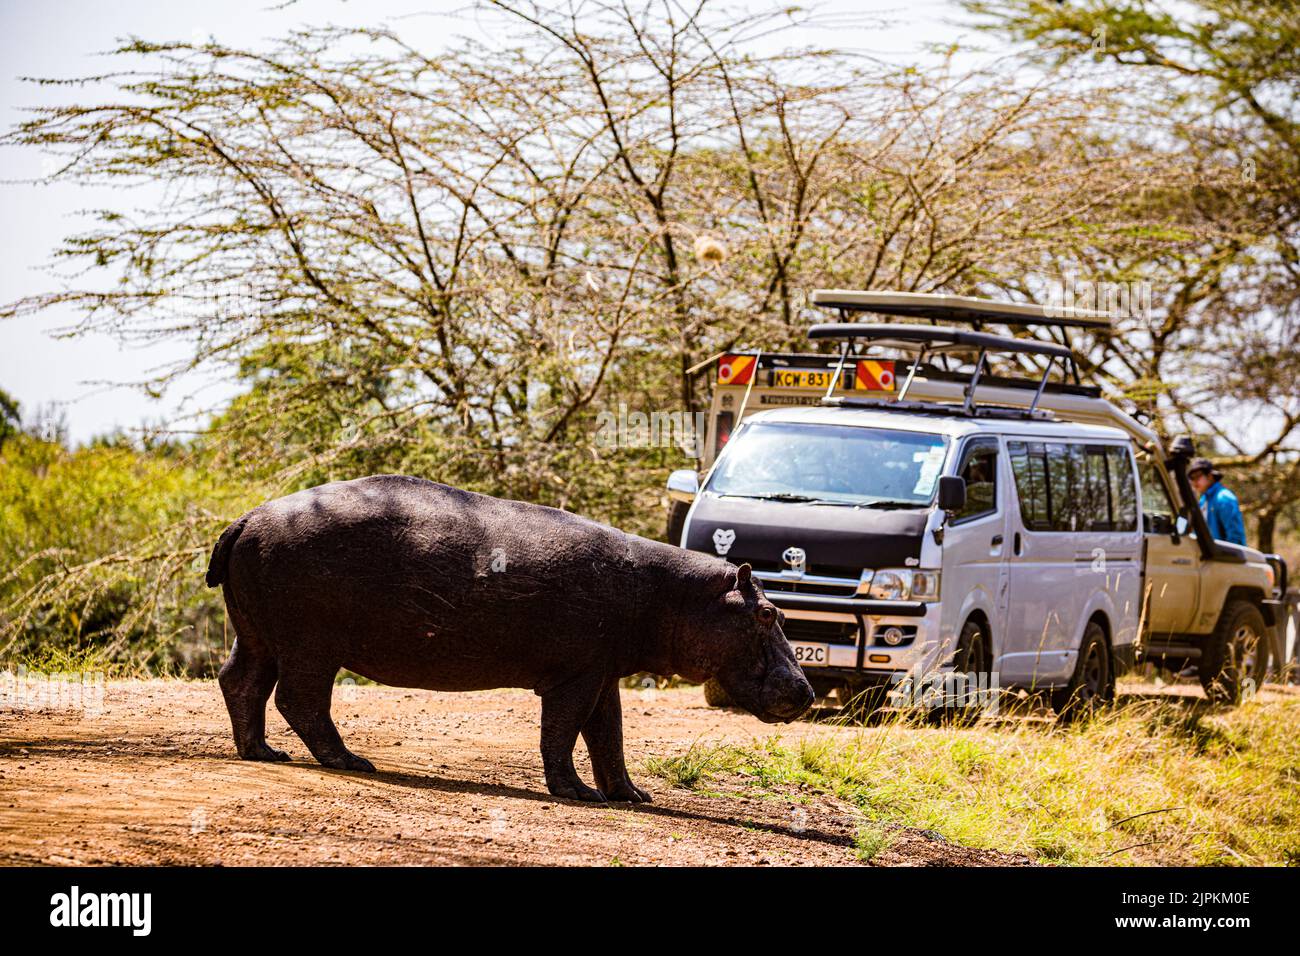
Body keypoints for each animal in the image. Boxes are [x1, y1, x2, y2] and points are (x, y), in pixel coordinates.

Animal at [205, 475, 814, 802]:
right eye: (769, 613)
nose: (806, 691)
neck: (678, 594)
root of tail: (245, 518)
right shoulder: (575, 677)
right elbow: (563, 733)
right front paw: (579, 795)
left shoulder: (602, 674)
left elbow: (609, 736)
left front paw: (632, 796)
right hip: (310, 643)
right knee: (300, 699)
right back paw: (353, 763)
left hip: (259, 634)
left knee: (242, 683)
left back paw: (264, 753)